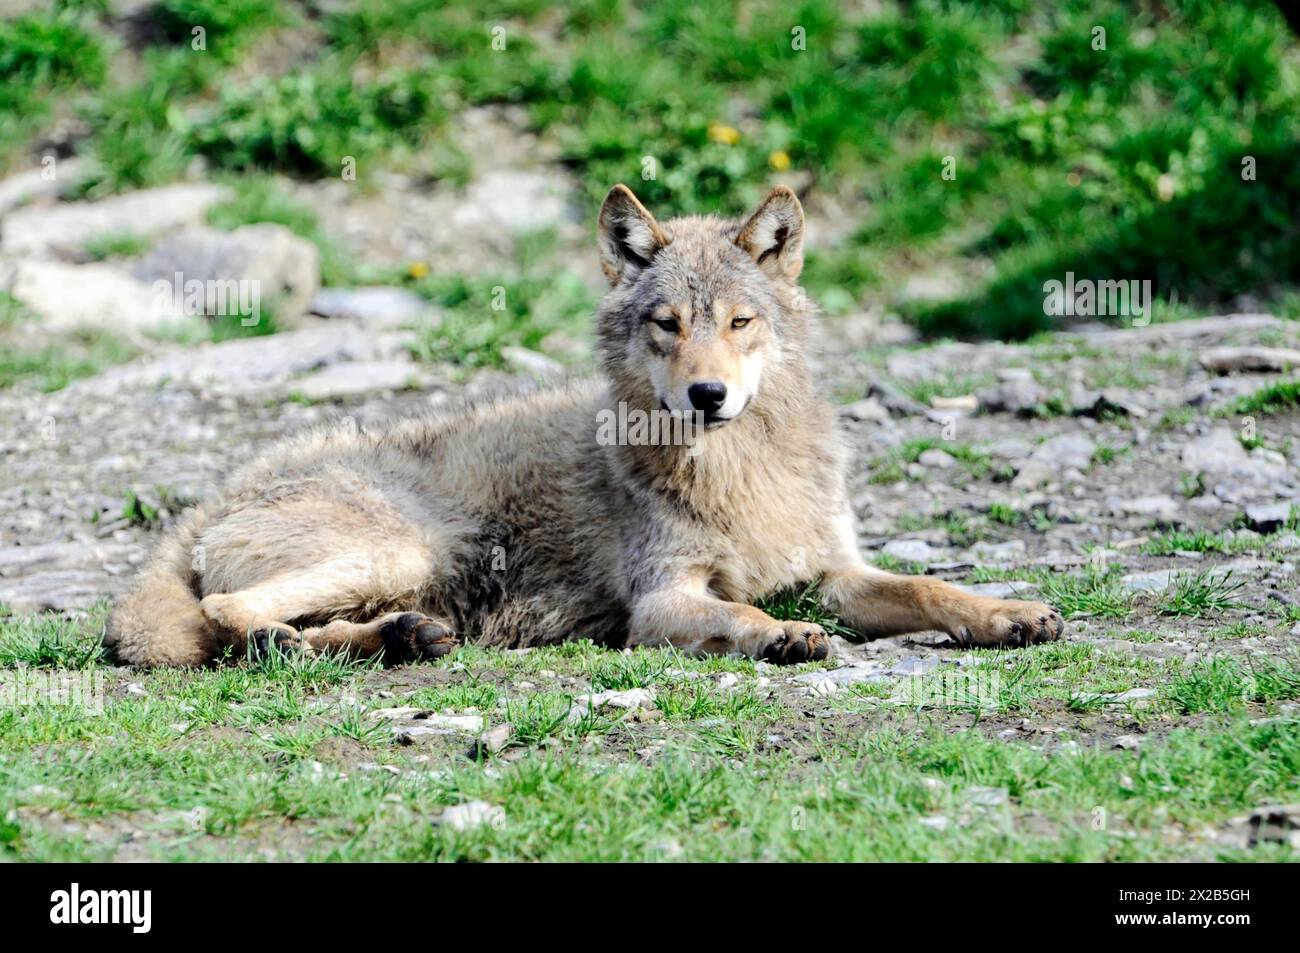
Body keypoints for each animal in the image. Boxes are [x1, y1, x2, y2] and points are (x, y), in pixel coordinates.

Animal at [106, 184, 1064, 667]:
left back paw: (402, 638)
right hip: (404, 546)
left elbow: (932, 588)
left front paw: (1009, 613)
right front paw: (780, 633)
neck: (740, 472)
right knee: (232, 616)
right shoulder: (665, 598)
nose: (707, 395)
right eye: (667, 324)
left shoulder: (836, 571)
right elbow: (738, 612)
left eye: (739, 322)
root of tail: (209, 500)